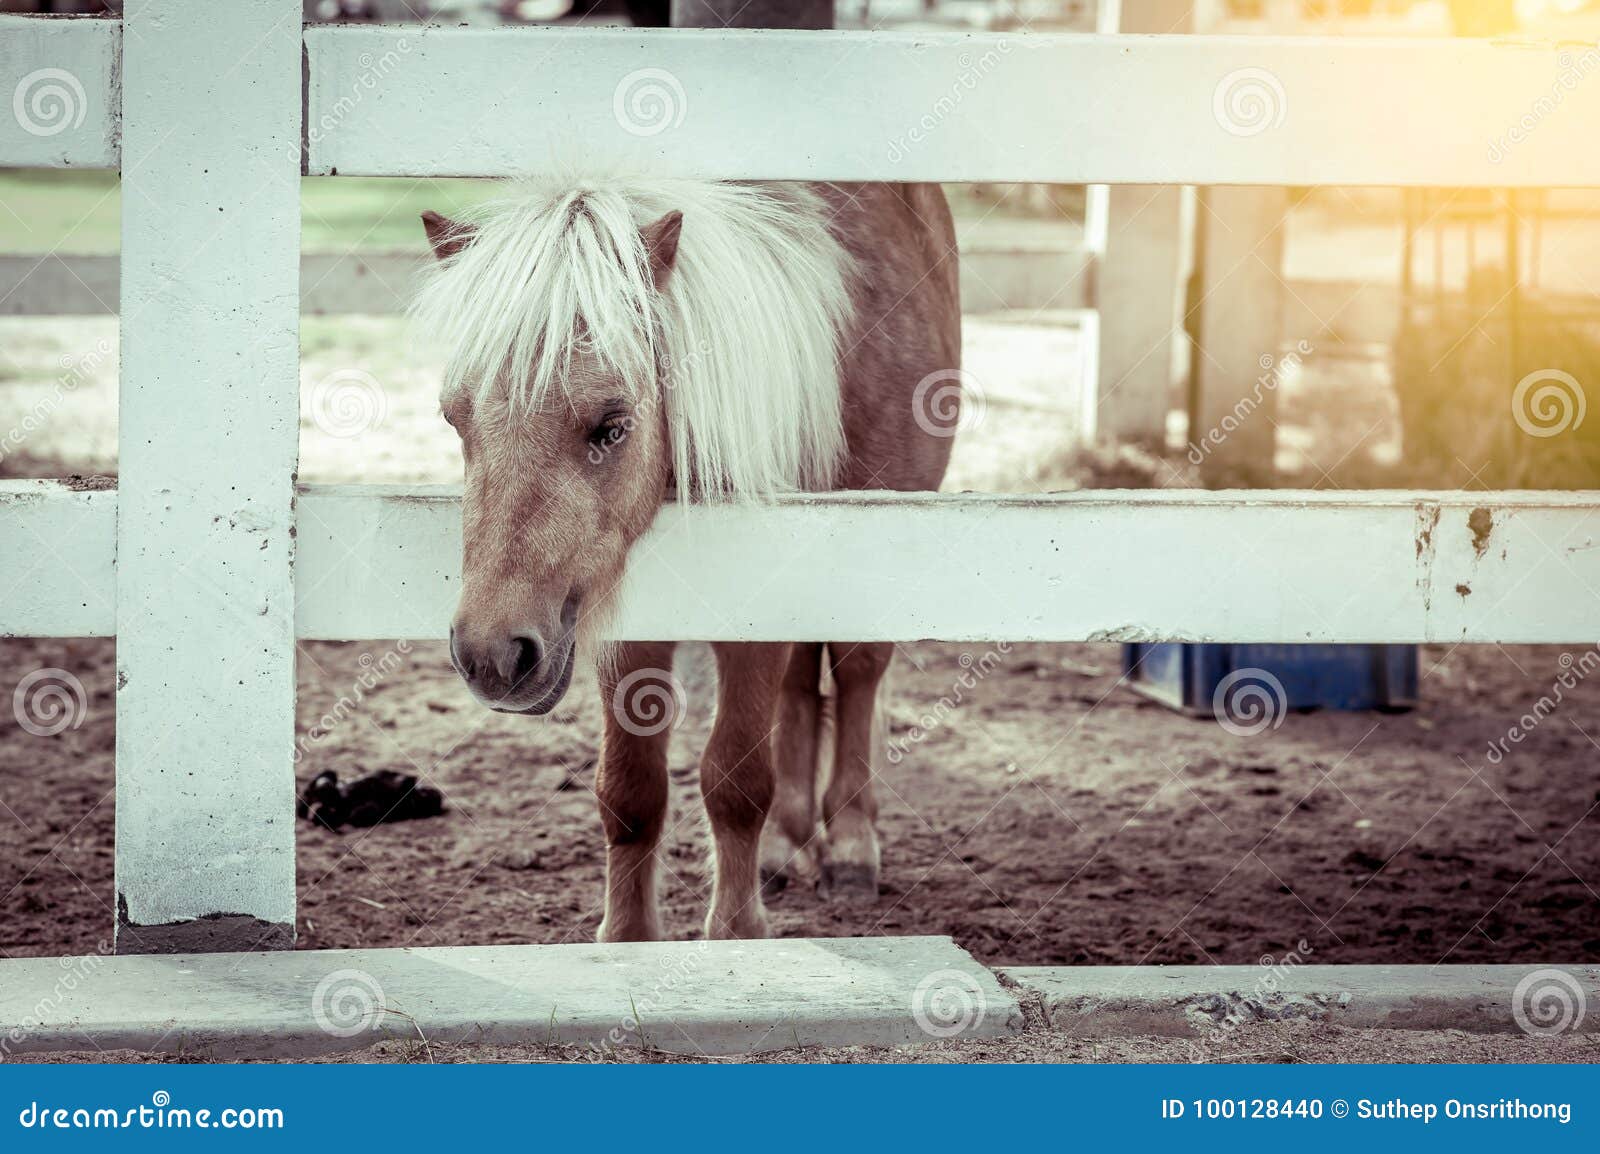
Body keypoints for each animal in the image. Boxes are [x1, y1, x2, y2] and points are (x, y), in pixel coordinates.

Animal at [411, 176, 961, 940]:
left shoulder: (749, 618)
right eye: (454, 418)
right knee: (801, 689)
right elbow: (630, 792)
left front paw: (735, 933)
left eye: (612, 425)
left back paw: (851, 846)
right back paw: (787, 847)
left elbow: (734, 780)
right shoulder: (625, 621)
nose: (493, 656)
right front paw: (627, 939)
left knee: (856, 676)